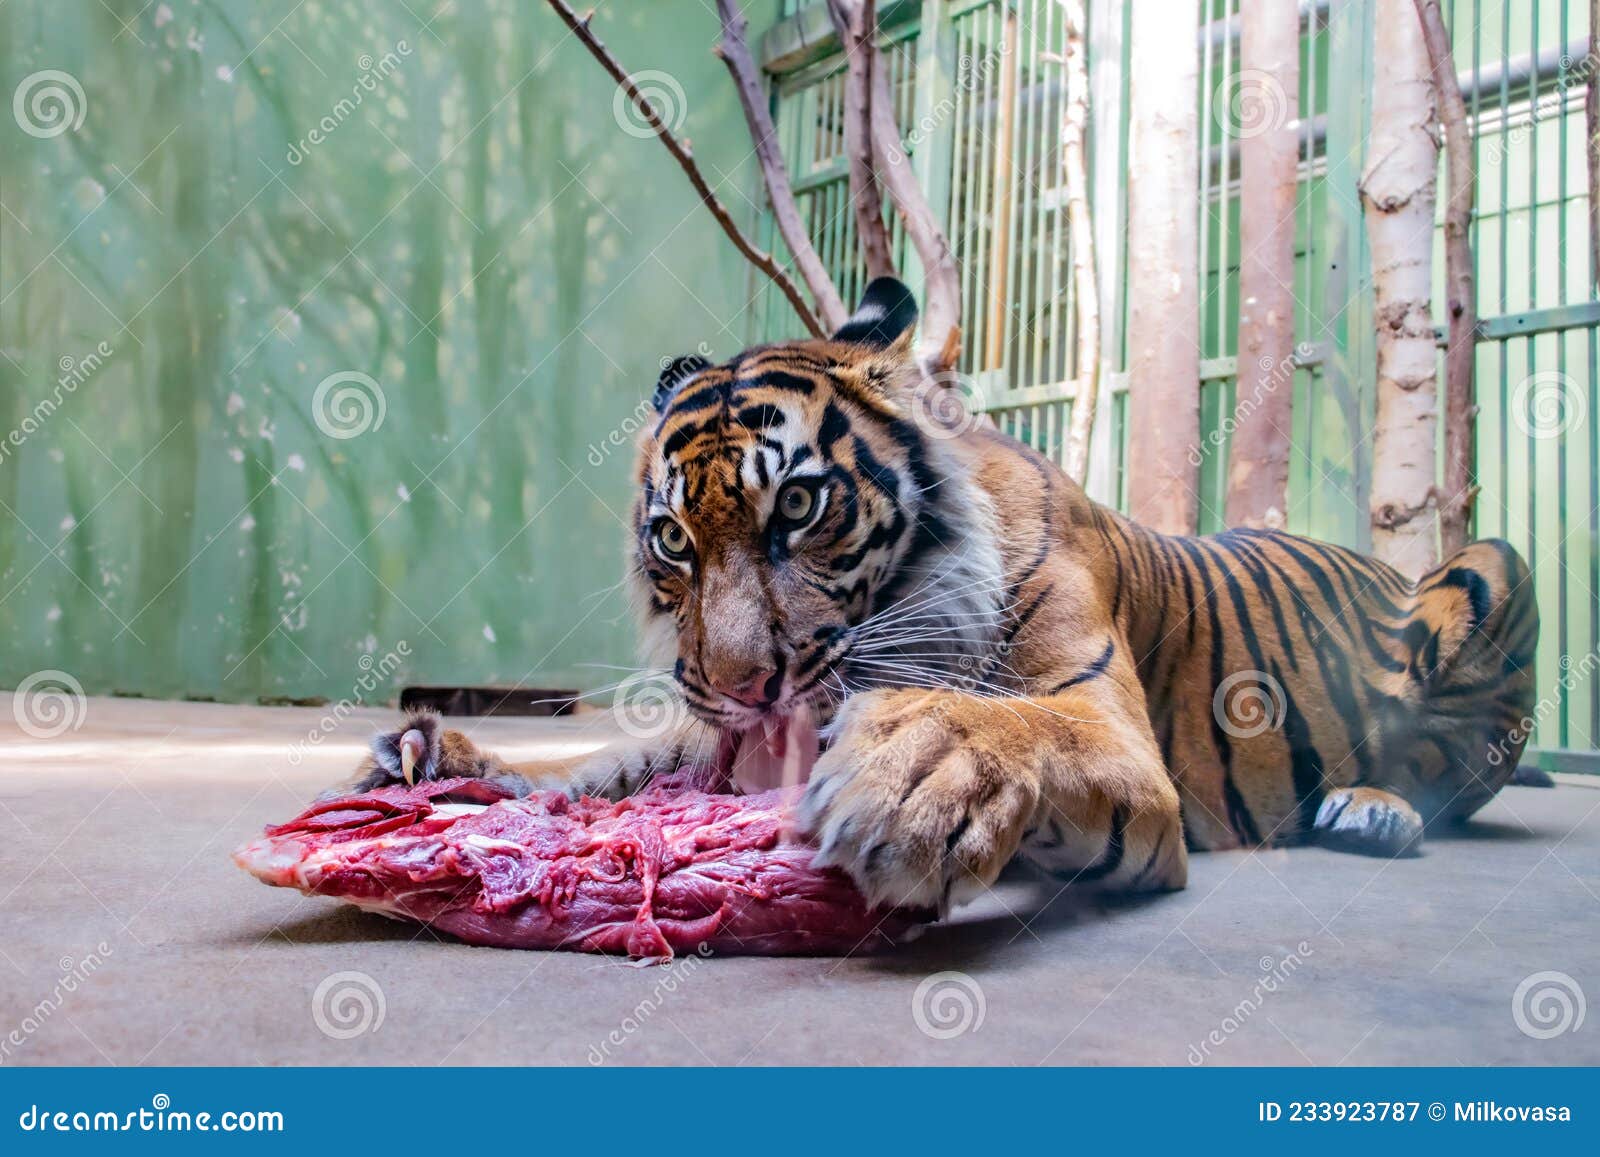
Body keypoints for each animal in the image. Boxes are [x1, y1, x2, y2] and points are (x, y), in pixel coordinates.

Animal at [342, 277, 1540, 913]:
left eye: (798, 507)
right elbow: (606, 761)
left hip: (1489, 566)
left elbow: (1016, 724)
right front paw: (436, 754)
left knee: (1453, 776)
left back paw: (1377, 809)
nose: (743, 684)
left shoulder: (1115, 736)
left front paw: (918, 773)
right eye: (674, 538)